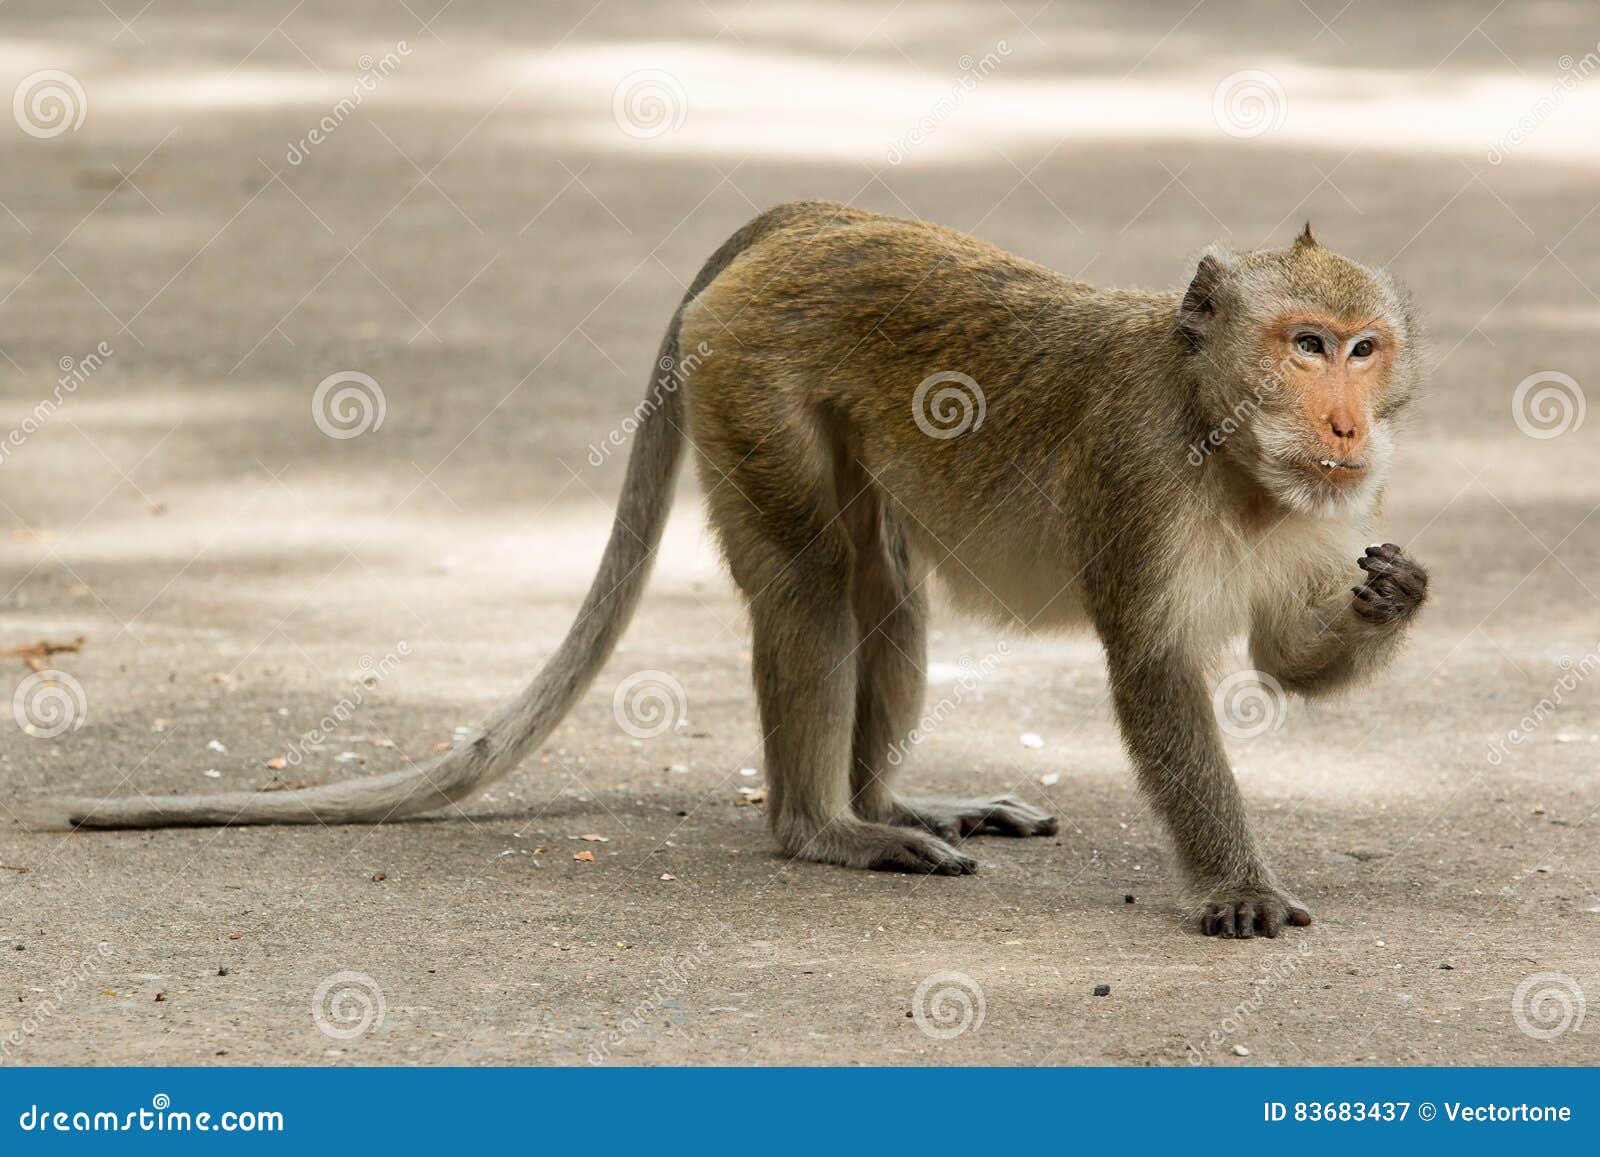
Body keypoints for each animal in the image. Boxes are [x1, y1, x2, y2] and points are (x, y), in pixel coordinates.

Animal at [24, 201, 1429, 938]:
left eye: (1364, 345)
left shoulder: (1321, 504)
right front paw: (1238, 887)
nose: (1348, 421)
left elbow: (1278, 652)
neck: (1220, 438)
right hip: (749, 378)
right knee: (815, 583)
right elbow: (1152, 670)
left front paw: (1386, 597)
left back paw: (889, 798)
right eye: (1305, 343)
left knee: (881, 593)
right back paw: (827, 828)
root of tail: (817, 216)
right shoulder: (1137, 476)